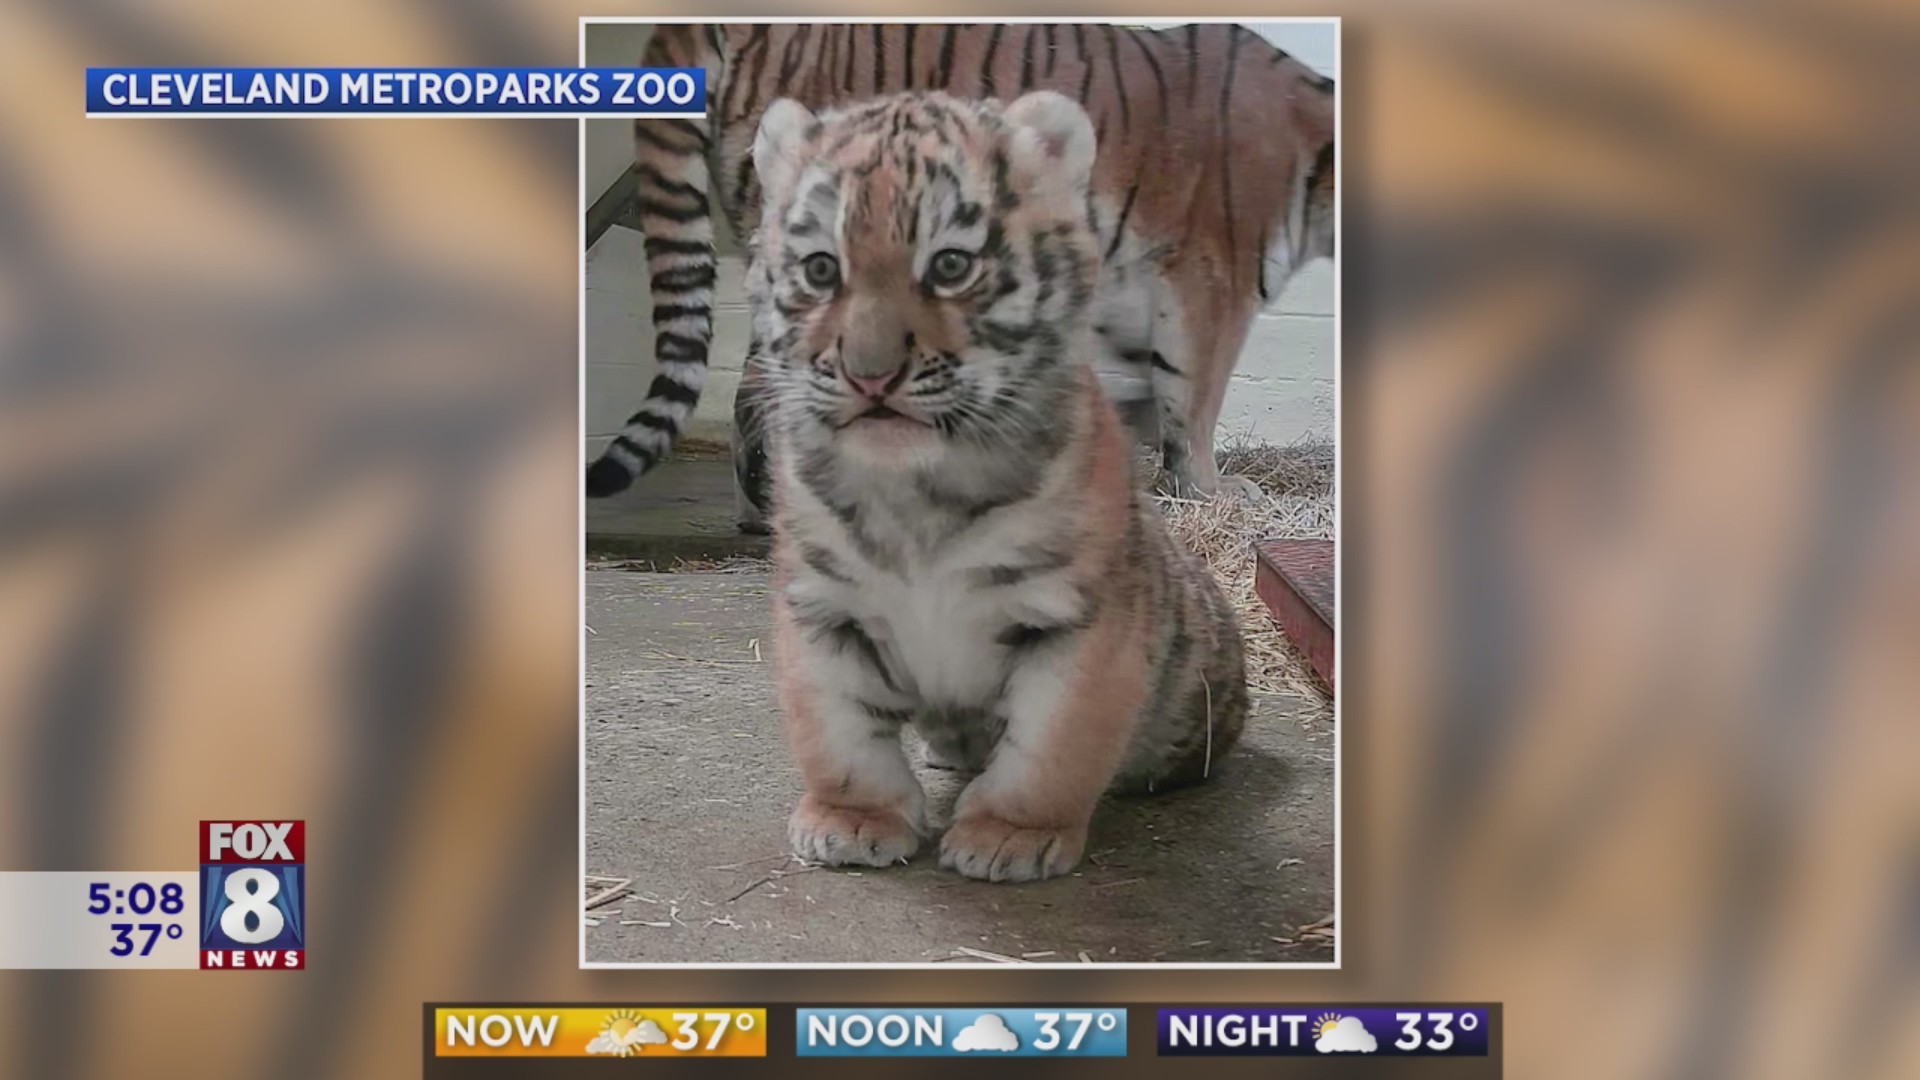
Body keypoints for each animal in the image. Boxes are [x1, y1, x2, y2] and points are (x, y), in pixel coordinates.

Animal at [752, 88, 1251, 882]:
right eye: (822, 270)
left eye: (951, 265)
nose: (870, 375)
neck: (913, 493)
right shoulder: (823, 608)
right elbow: (837, 731)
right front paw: (851, 820)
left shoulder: (1080, 621)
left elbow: (1050, 745)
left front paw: (1009, 835)